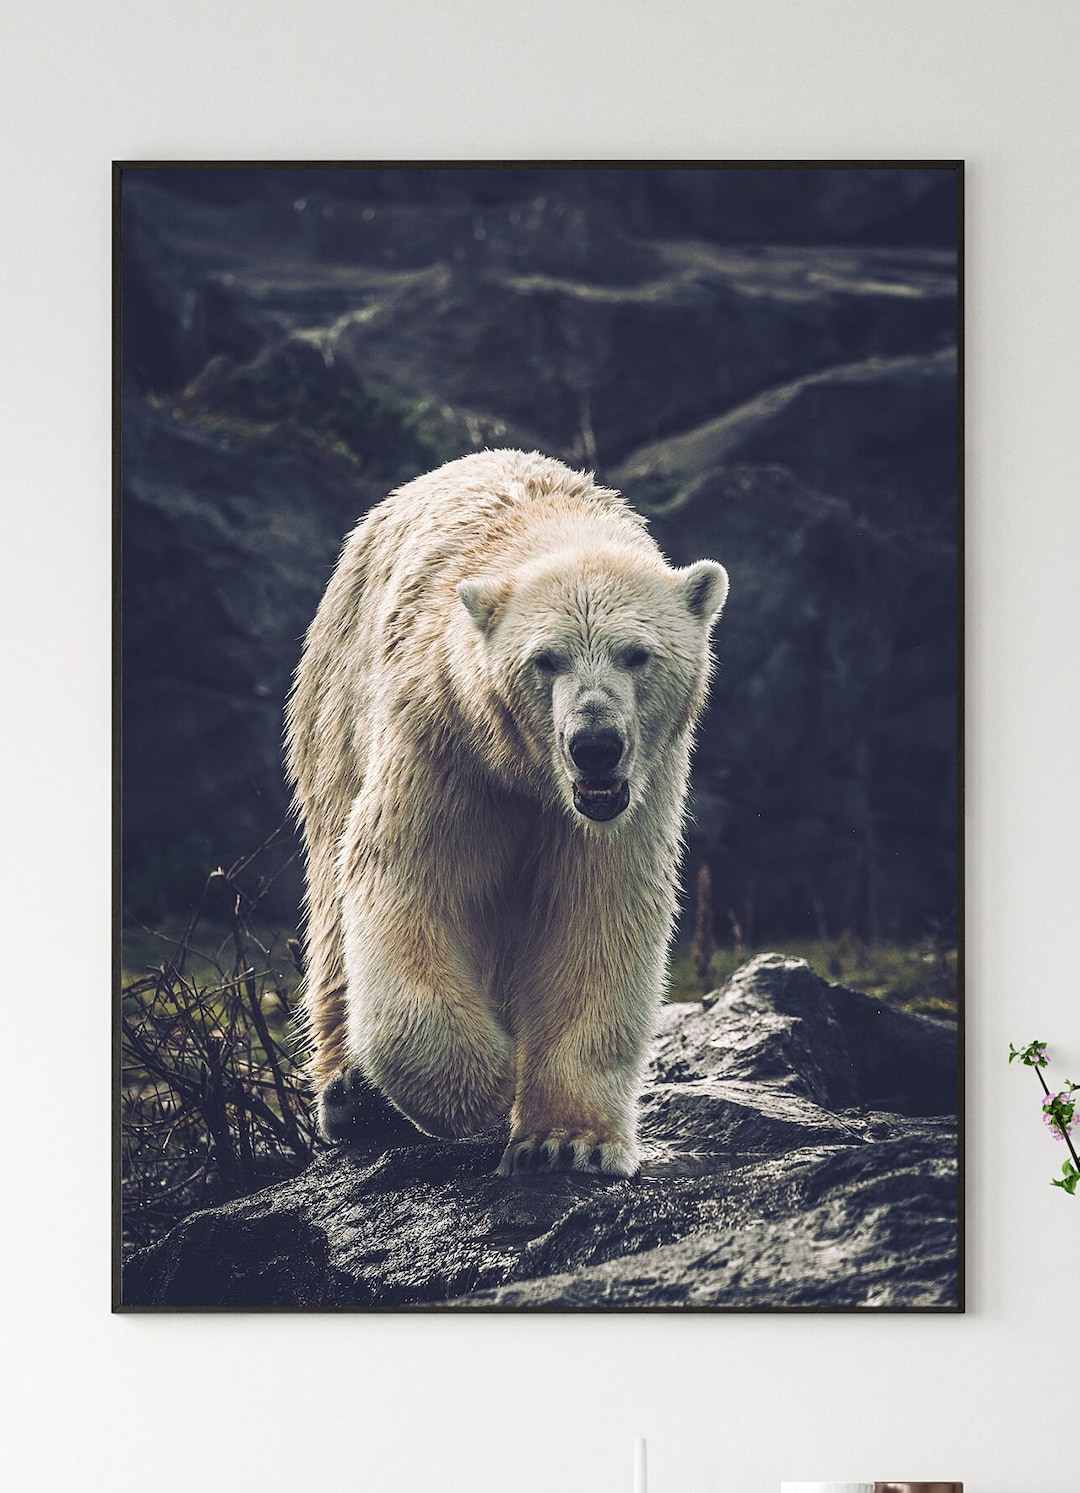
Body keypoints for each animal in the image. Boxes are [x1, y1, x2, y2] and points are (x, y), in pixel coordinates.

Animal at [285, 449, 728, 1176]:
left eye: (636, 653)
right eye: (546, 659)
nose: (595, 744)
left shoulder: (634, 796)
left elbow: (597, 914)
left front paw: (568, 1142)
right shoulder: (446, 741)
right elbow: (410, 883)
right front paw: (486, 1084)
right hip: (335, 707)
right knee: (329, 894)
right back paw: (351, 1095)